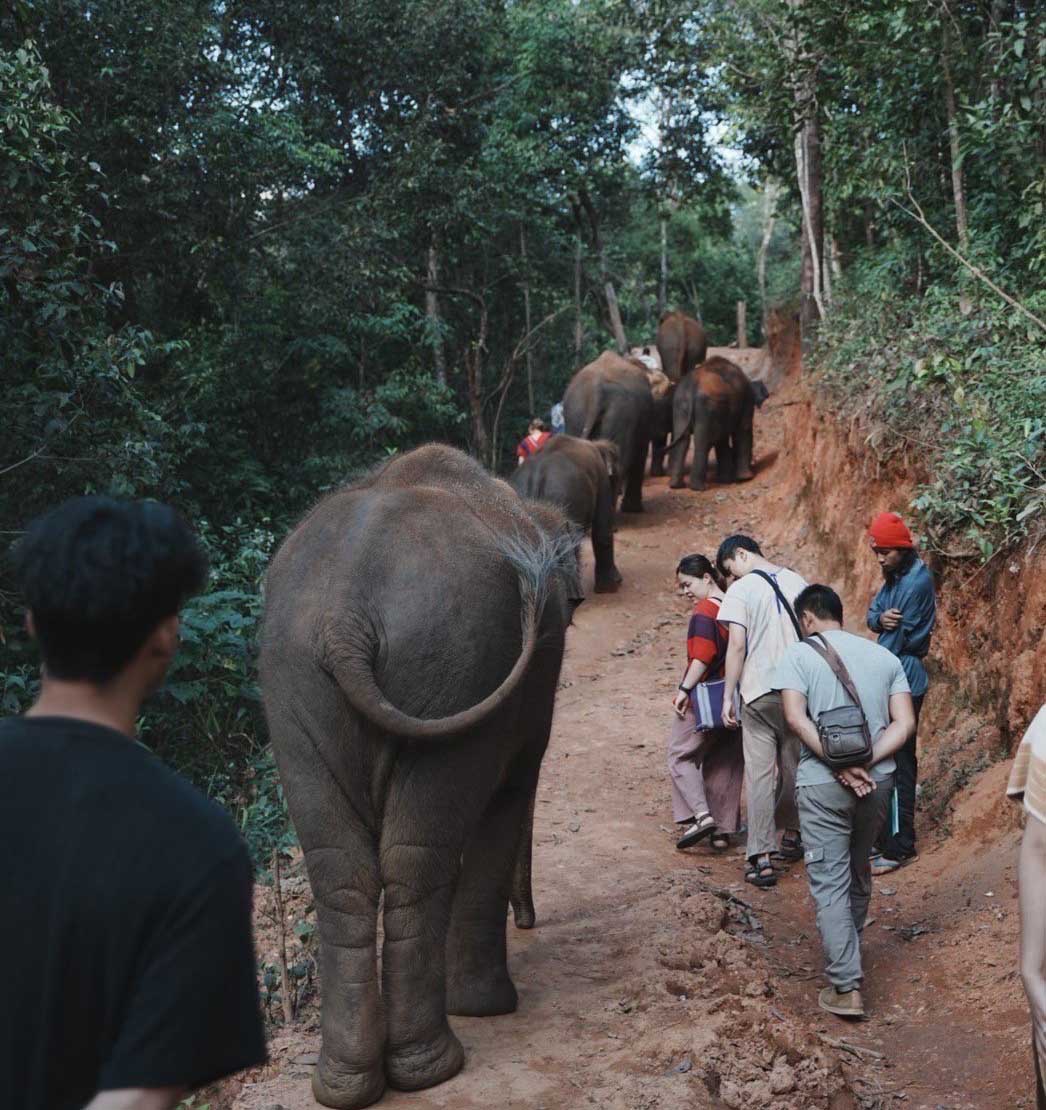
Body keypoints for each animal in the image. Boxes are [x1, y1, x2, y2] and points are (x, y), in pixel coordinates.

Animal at [259, 444, 581, 1109]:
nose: (529, 920)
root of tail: (345, 621)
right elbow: (511, 788)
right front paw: (488, 1007)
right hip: (447, 663)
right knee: (415, 853)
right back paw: (433, 1066)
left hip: (308, 678)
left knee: (342, 871)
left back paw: (350, 1084)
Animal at [510, 434, 622, 593]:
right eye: (617, 478)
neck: (596, 444)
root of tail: (537, 477)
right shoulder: (601, 479)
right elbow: (602, 529)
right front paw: (610, 587)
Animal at [667, 356, 756, 491]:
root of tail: (692, 386)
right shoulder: (747, 398)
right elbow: (743, 429)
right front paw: (745, 478)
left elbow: (722, 440)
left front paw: (725, 480)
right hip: (708, 406)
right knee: (703, 442)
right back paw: (699, 487)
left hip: (679, 405)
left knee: (683, 441)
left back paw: (676, 486)